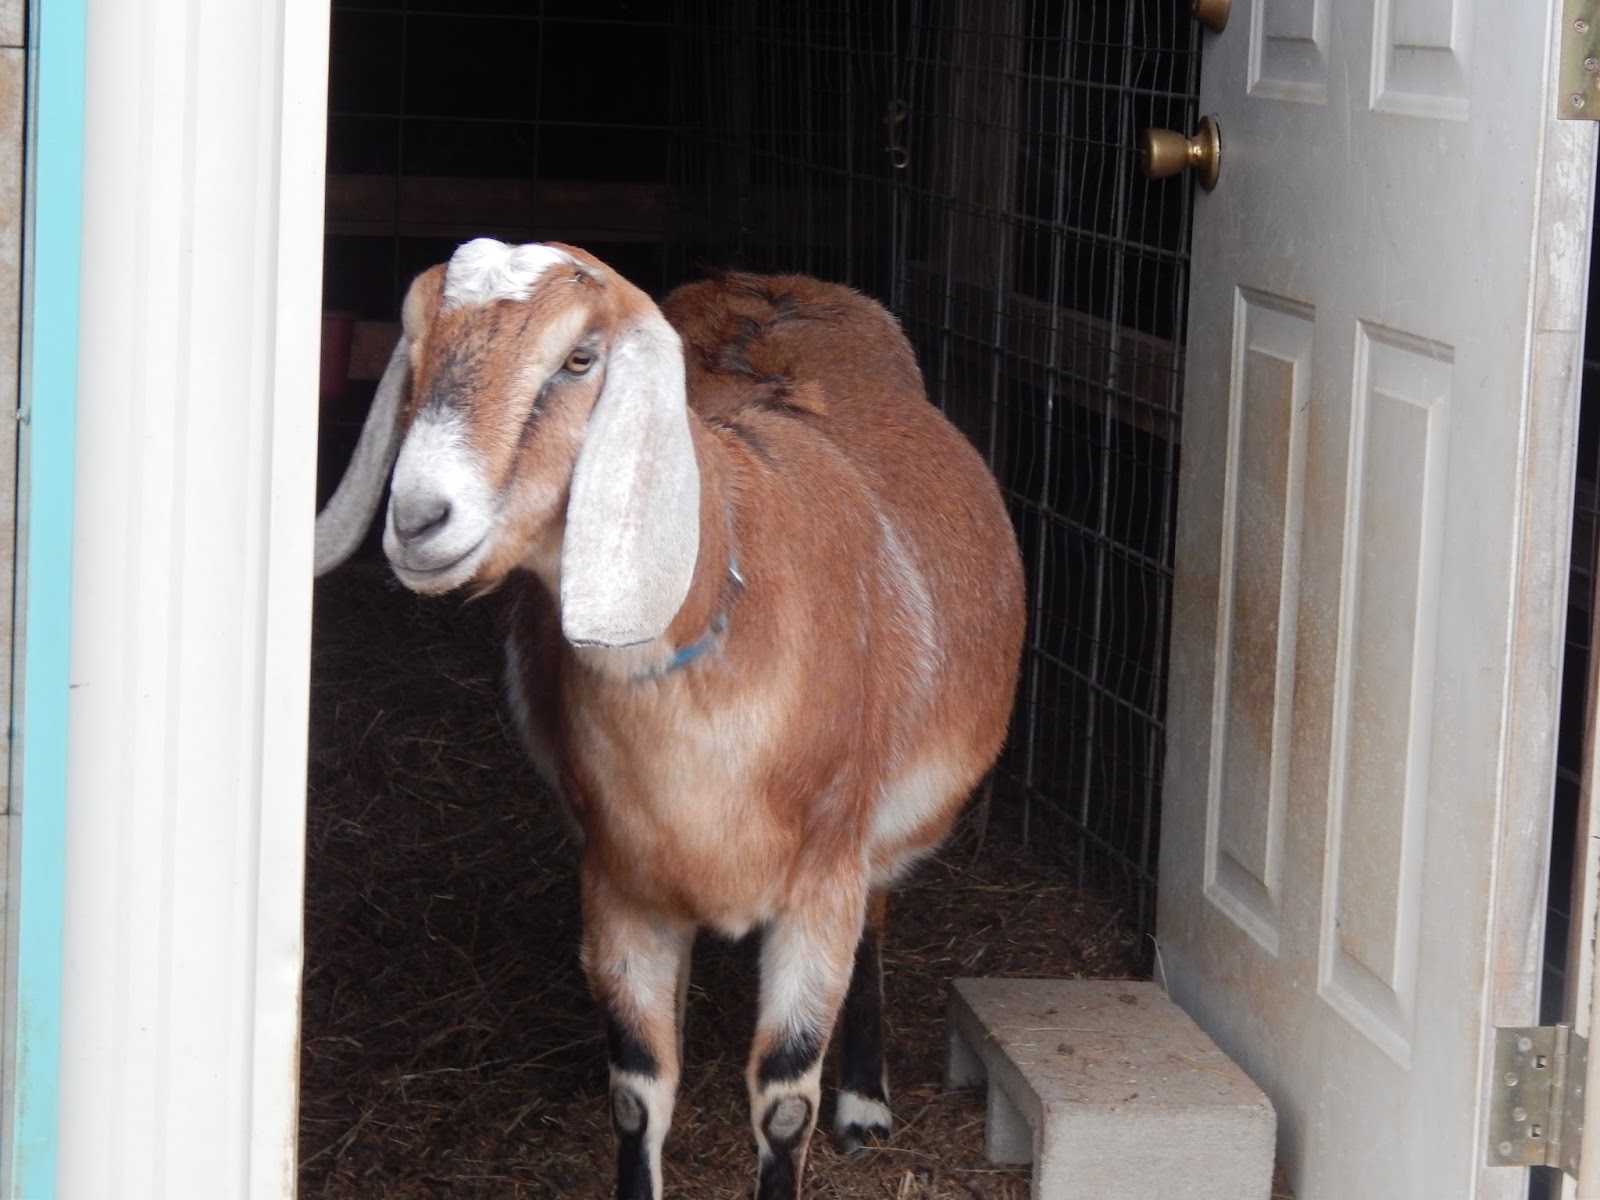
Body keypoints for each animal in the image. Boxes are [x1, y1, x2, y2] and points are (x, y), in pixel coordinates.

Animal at [314, 239, 1026, 1200]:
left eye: (581, 358)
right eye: (417, 344)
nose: (419, 519)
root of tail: (772, 283)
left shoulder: (823, 881)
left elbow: (783, 1101)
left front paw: (832, 1107)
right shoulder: (619, 886)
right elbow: (637, 1092)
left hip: (875, 838)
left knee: (877, 924)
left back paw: (865, 1100)